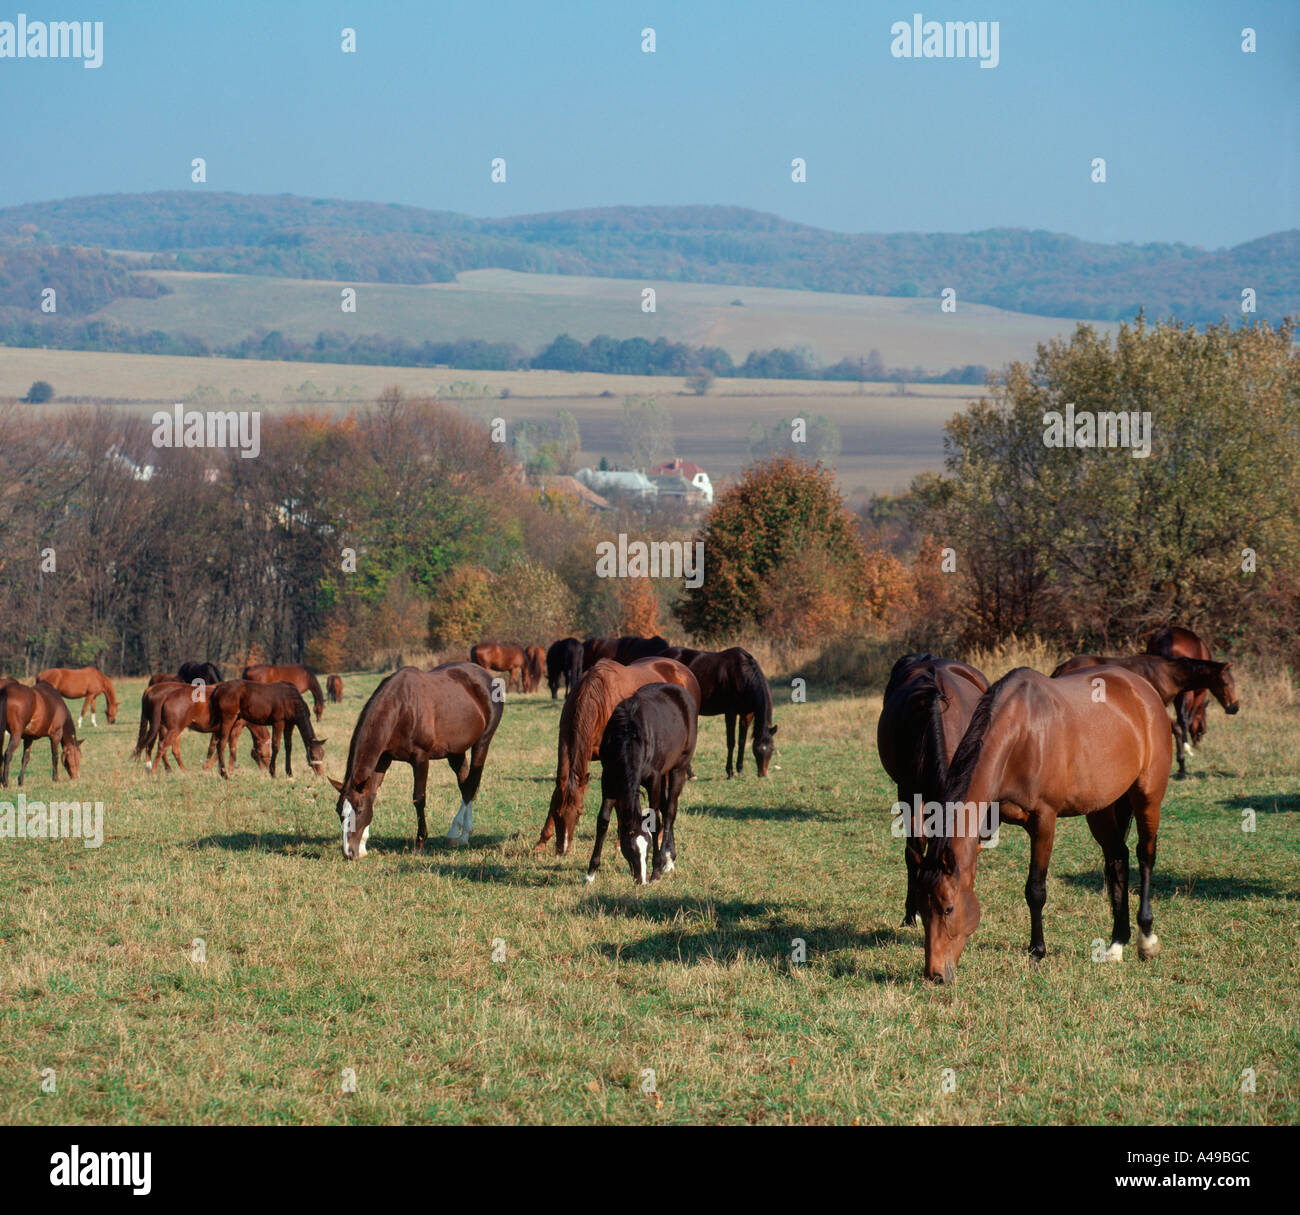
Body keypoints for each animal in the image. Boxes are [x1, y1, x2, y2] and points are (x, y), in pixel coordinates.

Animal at [329, 662, 503, 859]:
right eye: (339, 811)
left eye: (358, 810)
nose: (348, 851)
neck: (401, 708)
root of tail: (486, 676)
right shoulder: (383, 759)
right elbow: (372, 794)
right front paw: (364, 845)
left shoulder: (420, 758)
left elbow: (419, 799)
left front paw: (419, 842)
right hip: (455, 751)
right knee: (466, 785)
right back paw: (460, 832)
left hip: (482, 742)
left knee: (471, 784)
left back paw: (460, 834)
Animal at [533, 657, 702, 857]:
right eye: (556, 812)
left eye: (580, 812)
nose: (562, 849)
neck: (598, 699)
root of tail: (683, 670)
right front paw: (541, 842)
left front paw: (621, 842)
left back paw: (660, 836)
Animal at [587, 682, 699, 885]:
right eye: (629, 848)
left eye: (646, 850)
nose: (641, 879)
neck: (629, 735)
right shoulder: (609, 778)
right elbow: (603, 820)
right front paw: (590, 873)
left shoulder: (652, 779)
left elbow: (657, 820)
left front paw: (656, 870)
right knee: (666, 807)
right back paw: (669, 856)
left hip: (678, 769)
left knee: (669, 812)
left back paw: (668, 861)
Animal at [916, 665, 1171, 983]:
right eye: (922, 909)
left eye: (948, 908)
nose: (934, 974)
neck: (1021, 736)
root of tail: (1142, 689)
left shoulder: (1044, 821)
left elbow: (1035, 890)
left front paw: (1037, 951)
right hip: (1100, 808)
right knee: (1118, 859)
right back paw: (1116, 943)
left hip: (1148, 795)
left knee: (1145, 856)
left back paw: (1146, 939)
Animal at [1052, 652, 1239, 778]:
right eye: (1225, 682)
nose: (1234, 707)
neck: (1168, 674)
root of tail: (1061, 669)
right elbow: (1176, 728)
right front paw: (1182, 764)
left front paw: (1181, 765)